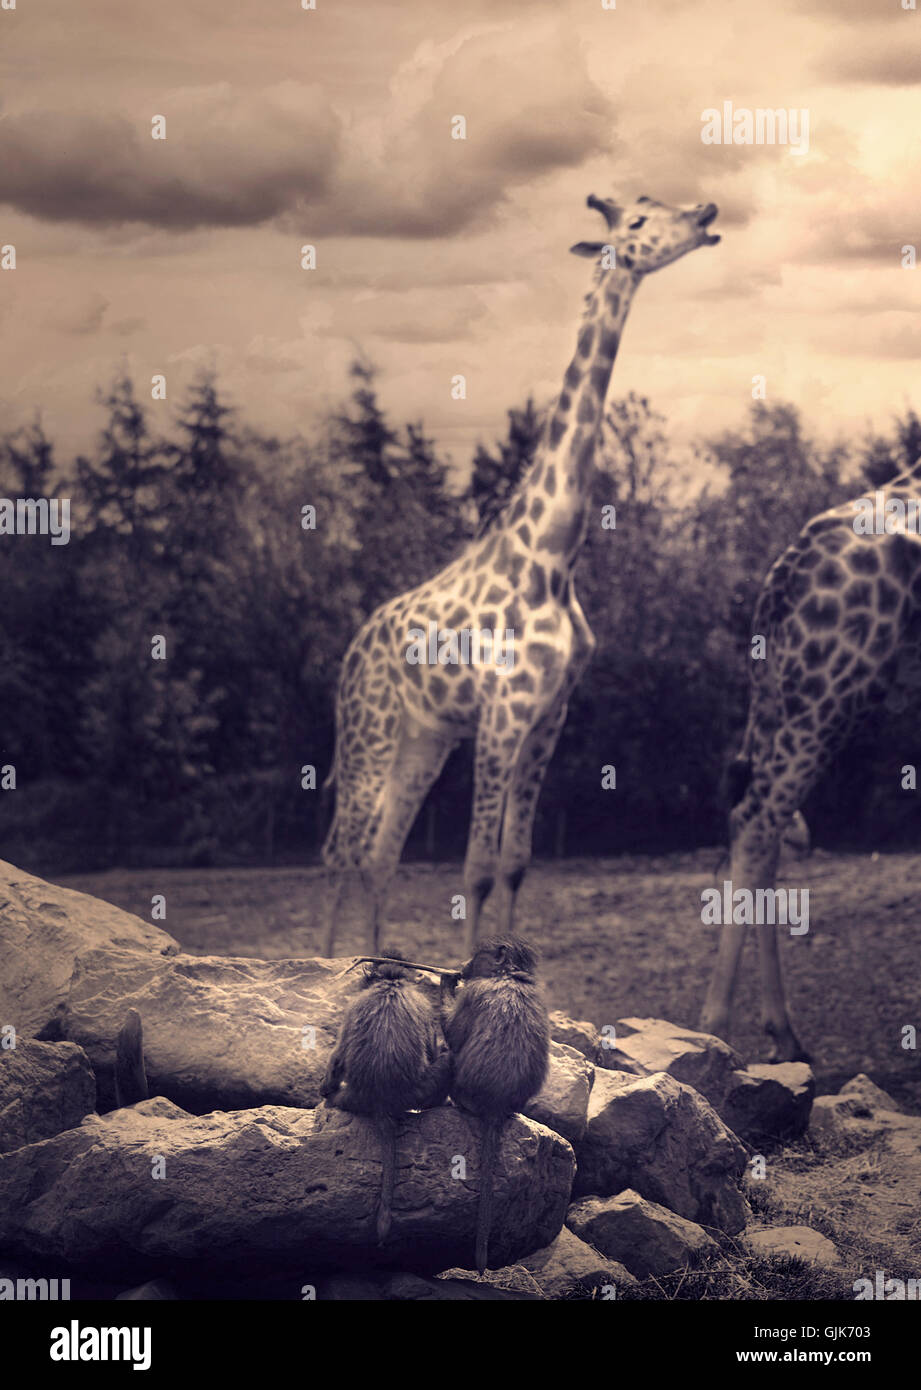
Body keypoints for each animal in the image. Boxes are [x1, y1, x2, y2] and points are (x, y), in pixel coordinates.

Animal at [320, 962, 452, 1244]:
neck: (391, 983)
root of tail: (380, 1099)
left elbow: (338, 1056)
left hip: (352, 1097)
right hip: (418, 1092)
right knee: (447, 1059)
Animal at [443, 936, 550, 1273]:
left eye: (478, 955)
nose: (461, 968)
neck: (509, 974)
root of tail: (495, 1105)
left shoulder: (473, 994)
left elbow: (452, 1033)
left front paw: (445, 982)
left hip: (460, 1090)